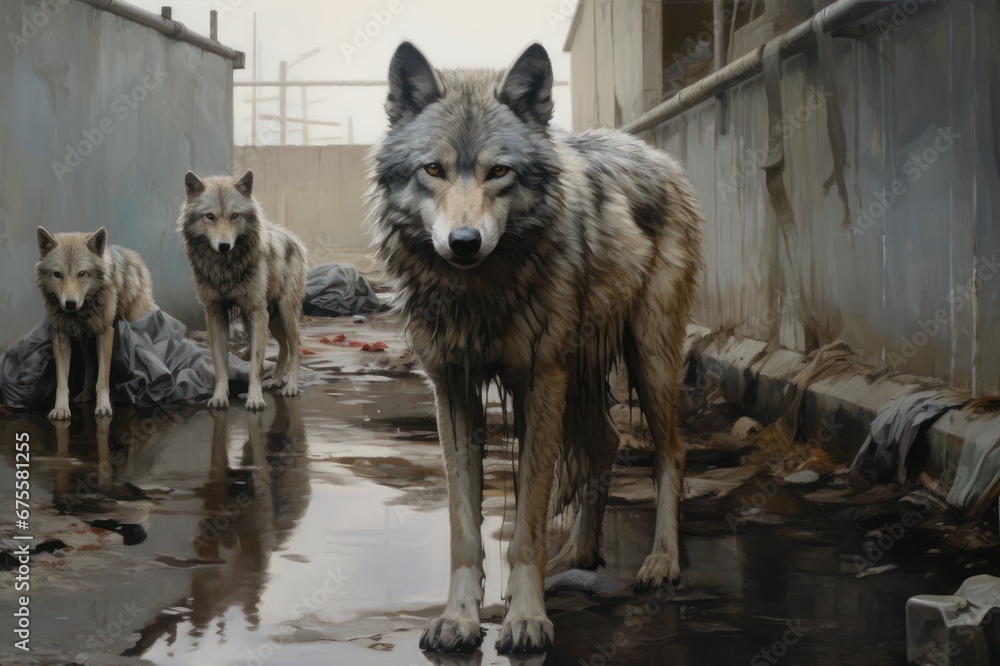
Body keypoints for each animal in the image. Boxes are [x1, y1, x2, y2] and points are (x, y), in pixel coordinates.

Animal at [35, 227, 156, 420]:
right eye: (57, 274)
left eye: (82, 273)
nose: (70, 303)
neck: (81, 311)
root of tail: (131, 254)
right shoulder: (60, 336)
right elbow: (62, 382)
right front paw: (61, 409)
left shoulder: (105, 332)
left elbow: (103, 379)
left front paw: (104, 407)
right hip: (83, 339)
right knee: (90, 364)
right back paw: (85, 394)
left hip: (135, 319)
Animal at [177, 170, 308, 412]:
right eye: (210, 216)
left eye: (235, 215)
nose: (224, 246)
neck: (225, 267)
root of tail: (293, 239)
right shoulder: (215, 313)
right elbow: (220, 365)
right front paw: (220, 397)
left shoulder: (257, 311)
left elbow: (256, 363)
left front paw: (254, 399)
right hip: (261, 319)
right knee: (283, 347)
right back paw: (274, 380)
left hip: (284, 313)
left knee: (295, 348)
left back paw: (291, 386)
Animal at [369, 42, 704, 653]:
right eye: (433, 169)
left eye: (498, 171)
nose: (464, 242)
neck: (478, 292)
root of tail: (651, 151)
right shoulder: (453, 391)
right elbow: (463, 529)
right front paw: (458, 619)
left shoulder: (539, 384)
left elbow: (526, 525)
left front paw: (527, 619)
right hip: (582, 375)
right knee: (605, 443)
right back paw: (577, 555)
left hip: (648, 359)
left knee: (670, 450)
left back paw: (661, 562)